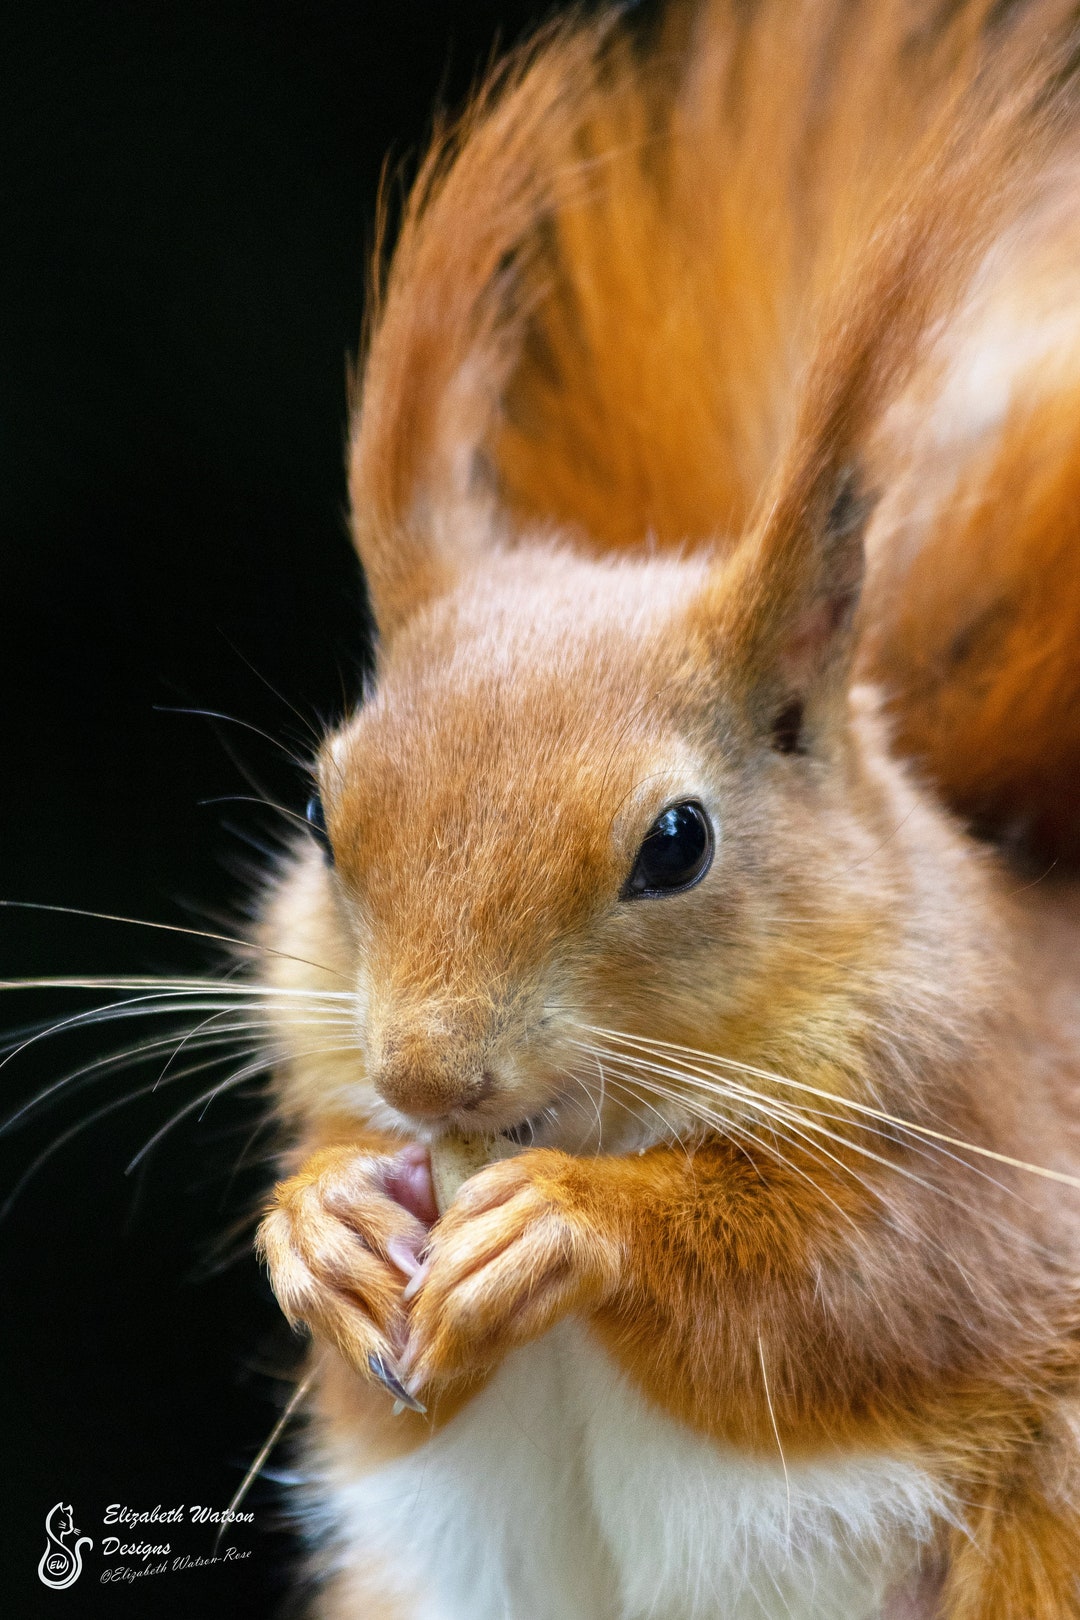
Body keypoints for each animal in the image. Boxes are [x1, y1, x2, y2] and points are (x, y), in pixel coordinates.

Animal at [254, 1, 1080, 1616]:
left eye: (678, 845)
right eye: (323, 809)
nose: (430, 1077)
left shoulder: (1000, 1157)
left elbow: (851, 1293)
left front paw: (573, 1222)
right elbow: (385, 1383)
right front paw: (322, 1222)